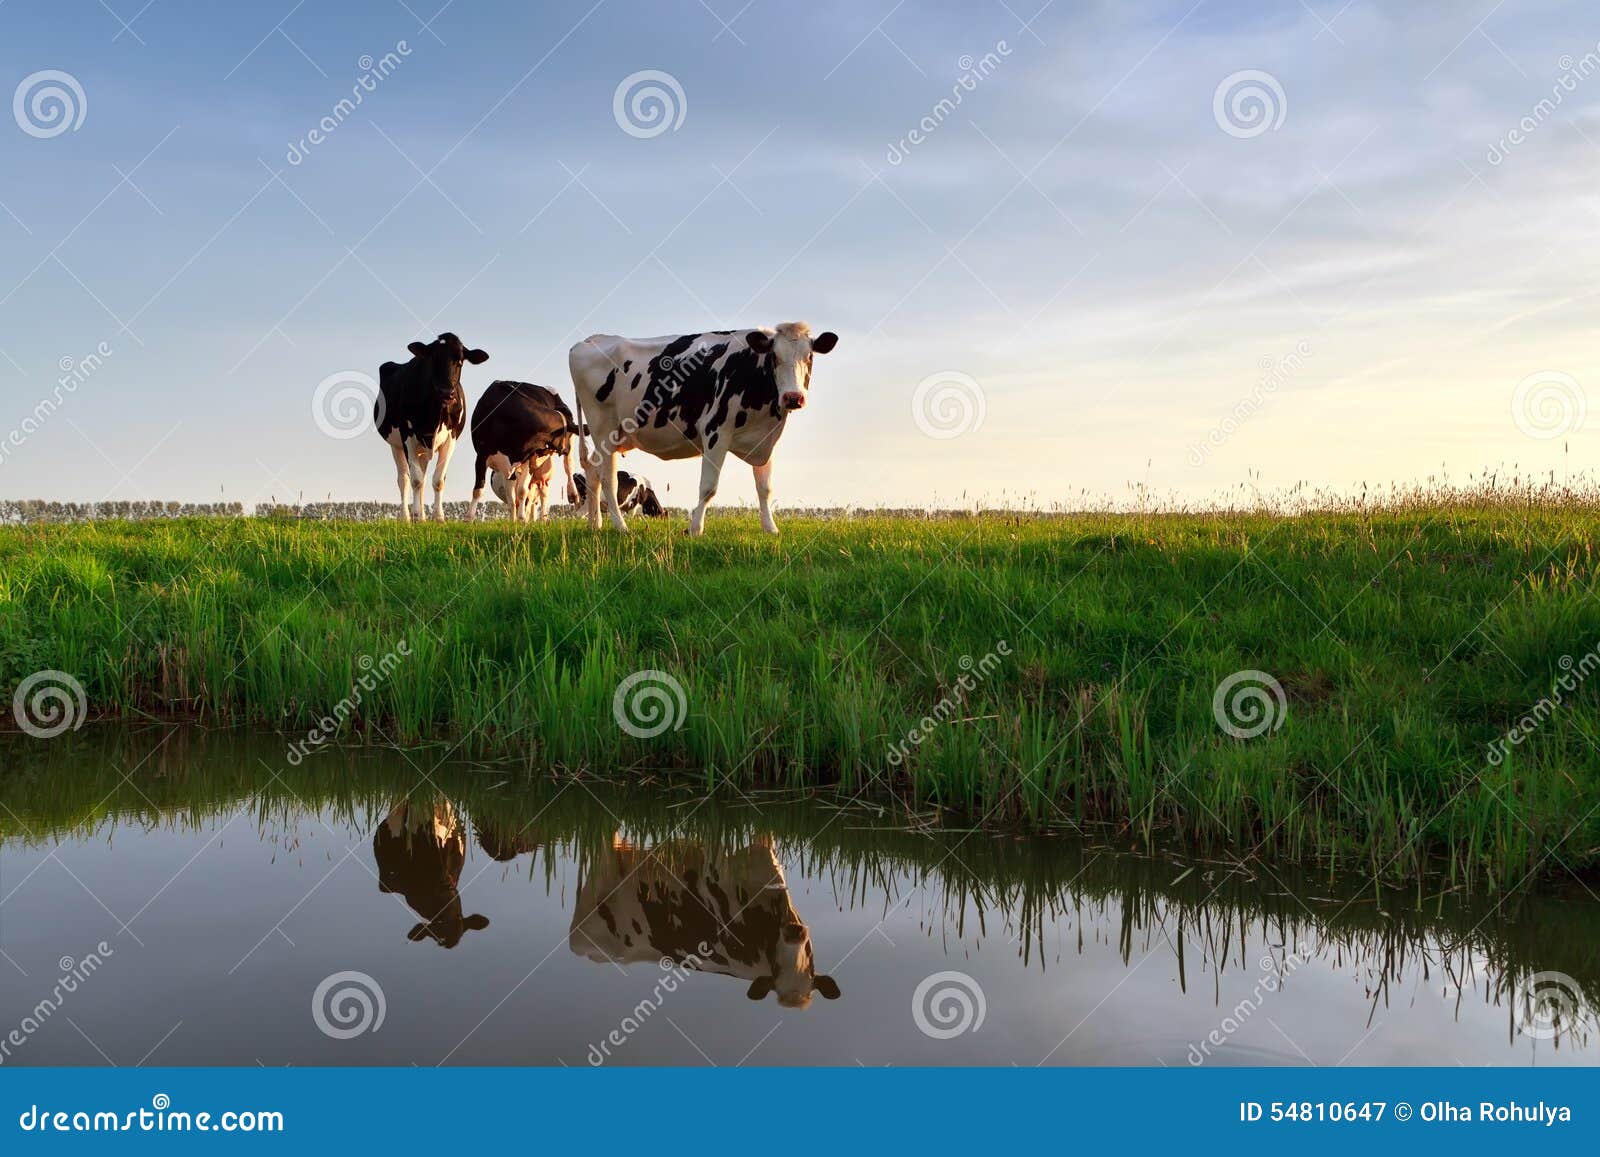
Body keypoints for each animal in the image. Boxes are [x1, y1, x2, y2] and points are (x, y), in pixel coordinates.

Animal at [375, 333, 488, 522]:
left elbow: (438, 480)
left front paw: (438, 517)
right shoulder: (408, 438)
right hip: (395, 445)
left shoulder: (451, 439)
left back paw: (420, 515)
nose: (446, 392)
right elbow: (415, 480)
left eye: (460, 361)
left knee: (424, 476)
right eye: (432, 360)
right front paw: (417, 516)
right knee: (404, 479)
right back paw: (408, 516)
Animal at [465, 379, 580, 523]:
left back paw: (573, 493)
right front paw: (469, 518)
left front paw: (522, 519)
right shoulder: (482, 454)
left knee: (568, 467)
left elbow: (522, 491)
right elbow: (479, 489)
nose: (566, 448)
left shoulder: (528, 458)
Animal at [567, 322, 838, 535]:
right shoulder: (715, 432)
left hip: (614, 435)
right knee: (608, 478)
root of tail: (588, 340)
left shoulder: (764, 440)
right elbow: (708, 487)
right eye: (775, 357)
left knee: (593, 471)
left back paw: (595, 524)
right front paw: (695, 529)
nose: (793, 397)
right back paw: (620, 526)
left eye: (809, 357)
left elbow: (765, 489)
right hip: (603, 427)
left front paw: (770, 528)